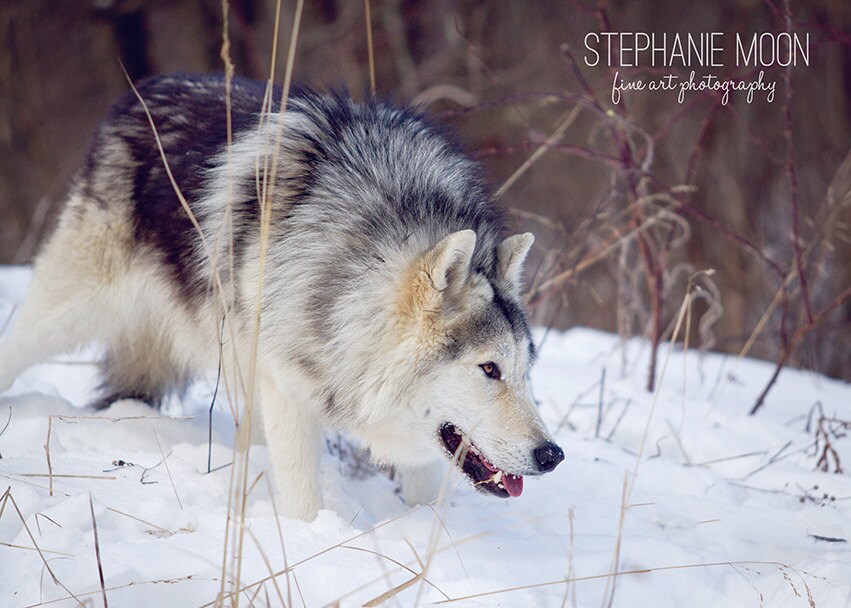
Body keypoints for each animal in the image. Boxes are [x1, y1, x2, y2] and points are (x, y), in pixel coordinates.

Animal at [0, 74, 564, 520]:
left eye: (524, 371)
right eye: (488, 369)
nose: (553, 456)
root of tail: (143, 90)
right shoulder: (287, 391)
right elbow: (302, 498)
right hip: (70, 312)